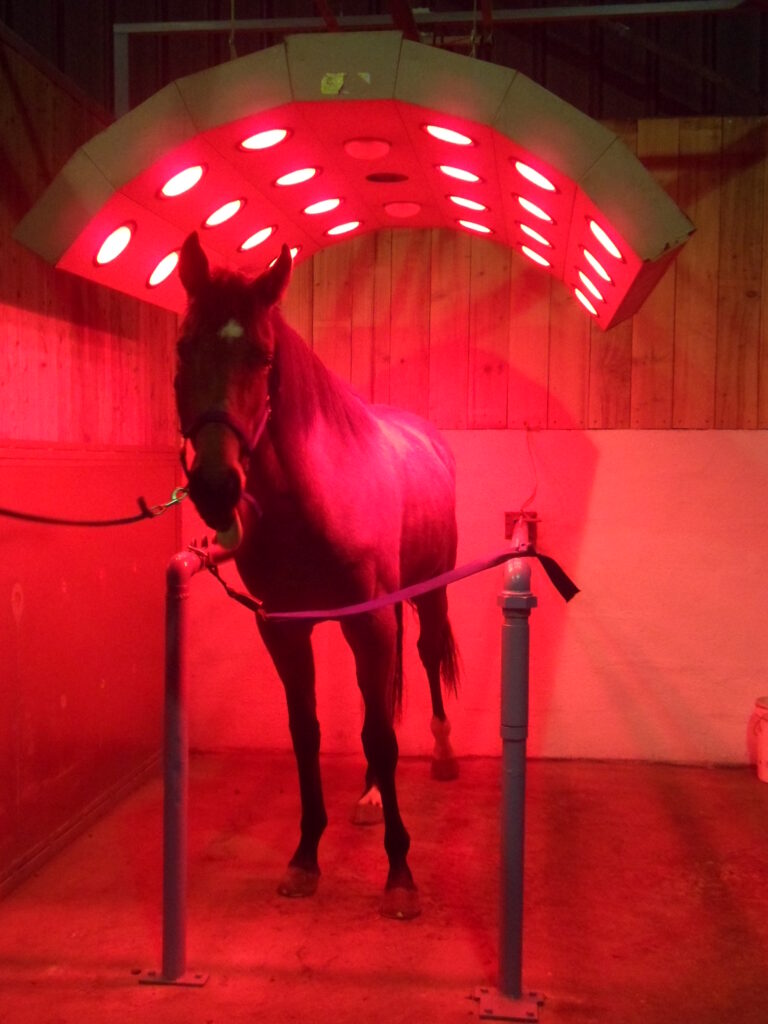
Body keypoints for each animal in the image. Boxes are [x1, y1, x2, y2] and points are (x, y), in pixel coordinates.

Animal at [174, 231, 459, 919]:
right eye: (184, 346)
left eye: (261, 356)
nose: (216, 487)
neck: (310, 504)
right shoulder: (285, 629)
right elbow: (310, 732)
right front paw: (305, 857)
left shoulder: (370, 623)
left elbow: (379, 734)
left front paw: (400, 873)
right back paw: (370, 795)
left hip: (428, 594)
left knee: (425, 655)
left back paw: (440, 754)